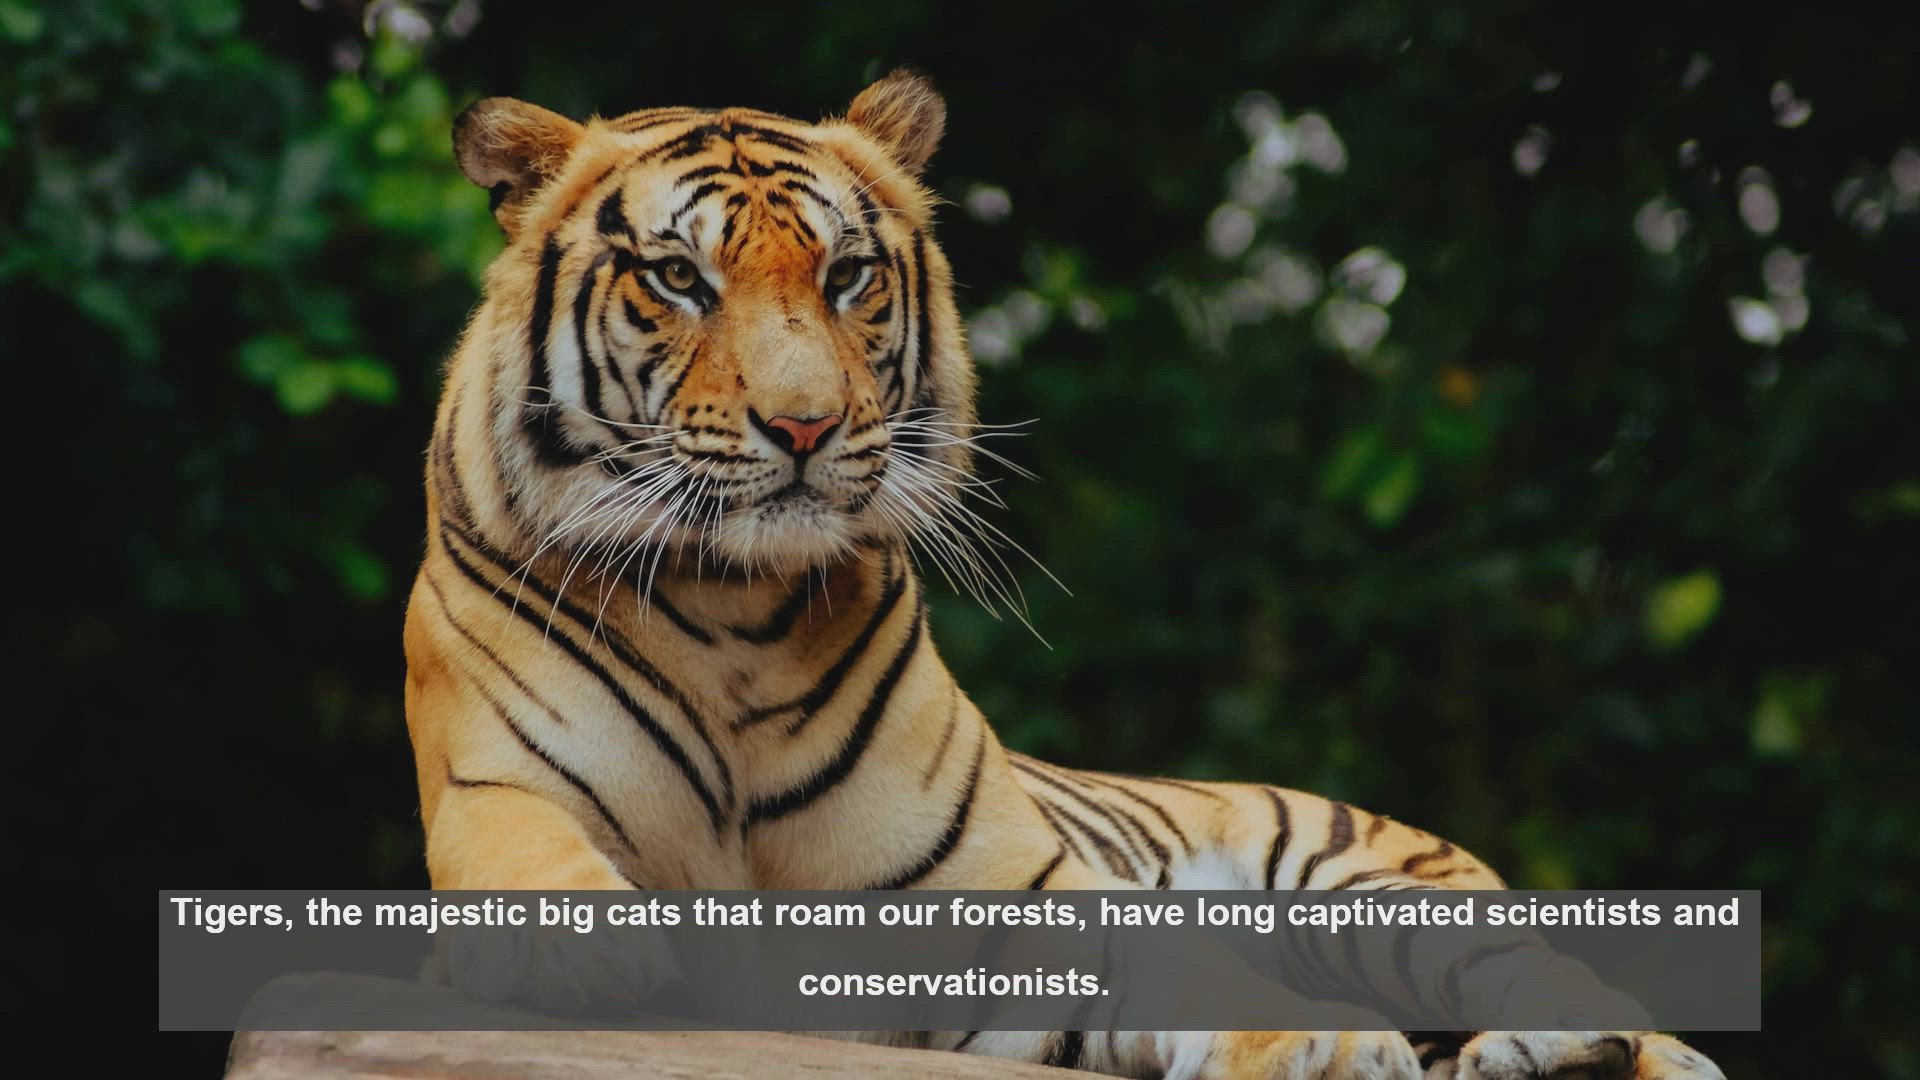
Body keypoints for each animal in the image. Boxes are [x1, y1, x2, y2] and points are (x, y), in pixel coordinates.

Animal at [401, 69, 1728, 1079]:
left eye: (846, 276)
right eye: (680, 278)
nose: (805, 426)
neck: (735, 608)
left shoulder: (1010, 891)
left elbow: (1192, 967)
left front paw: (1335, 1047)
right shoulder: (493, 791)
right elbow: (528, 857)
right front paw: (597, 956)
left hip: (1385, 894)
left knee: (1641, 1026)